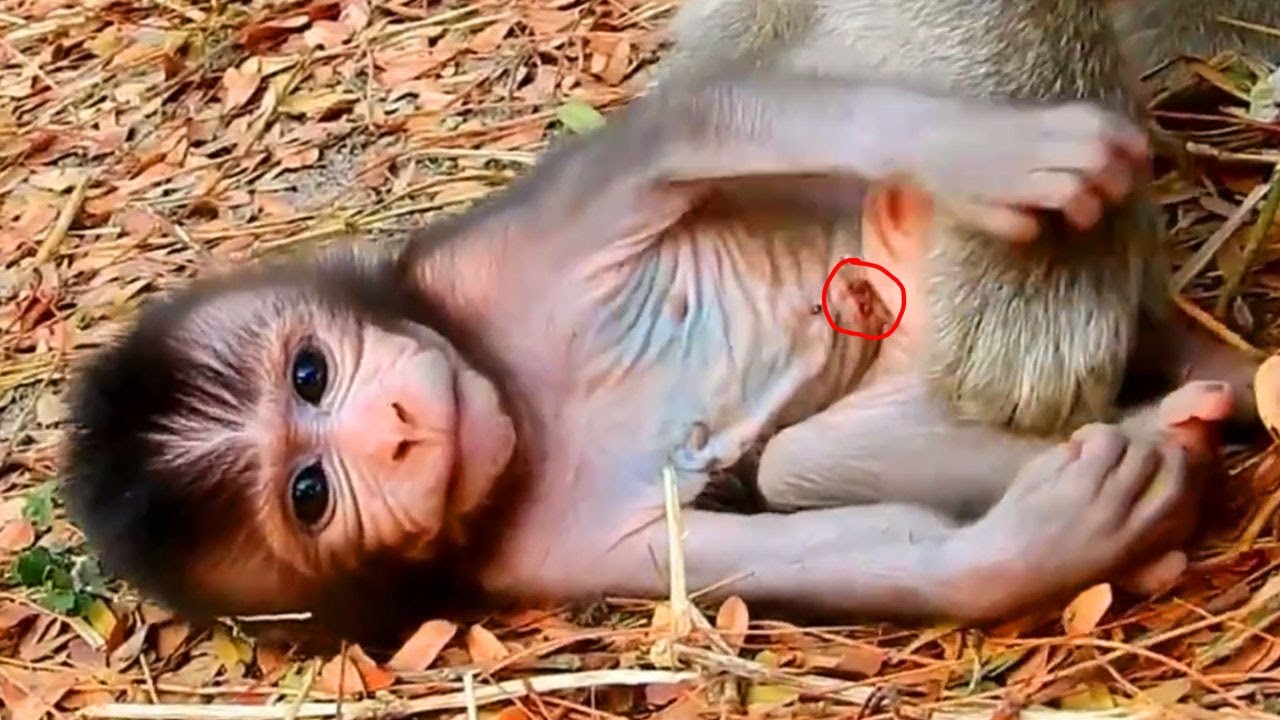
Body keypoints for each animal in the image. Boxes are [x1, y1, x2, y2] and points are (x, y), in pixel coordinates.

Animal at [61, 56, 1247, 648]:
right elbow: (816, 557)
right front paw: (1048, 542)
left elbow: (697, 126)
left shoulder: (489, 261)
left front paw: (996, 152)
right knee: (803, 462)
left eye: (311, 372)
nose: (393, 430)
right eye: (309, 492)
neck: (521, 405)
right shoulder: (550, 557)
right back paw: (1174, 418)